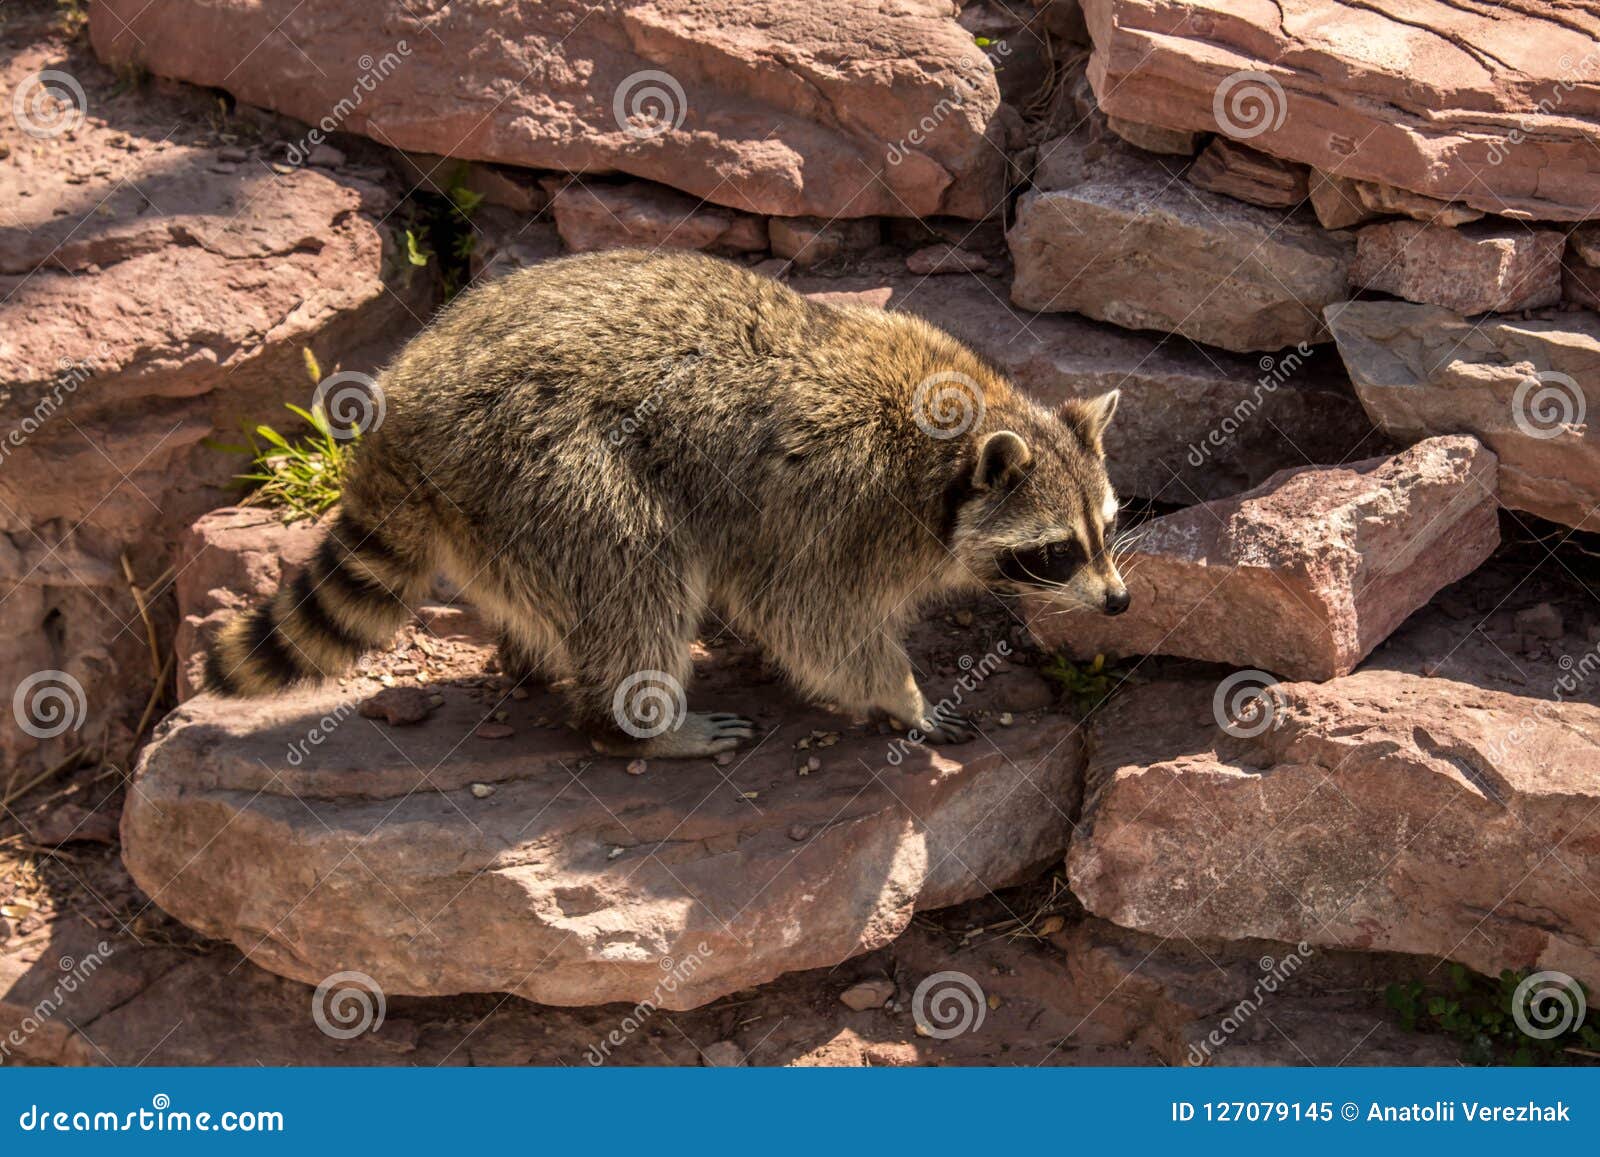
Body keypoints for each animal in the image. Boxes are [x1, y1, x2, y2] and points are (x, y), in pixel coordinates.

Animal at [207, 249, 1129, 758]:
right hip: (541, 462)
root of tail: (403, 404)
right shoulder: (837, 500)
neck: (953, 441)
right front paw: (902, 697)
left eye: (1107, 529)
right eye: (1057, 550)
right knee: (634, 571)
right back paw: (638, 724)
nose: (1119, 601)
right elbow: (810, 615)